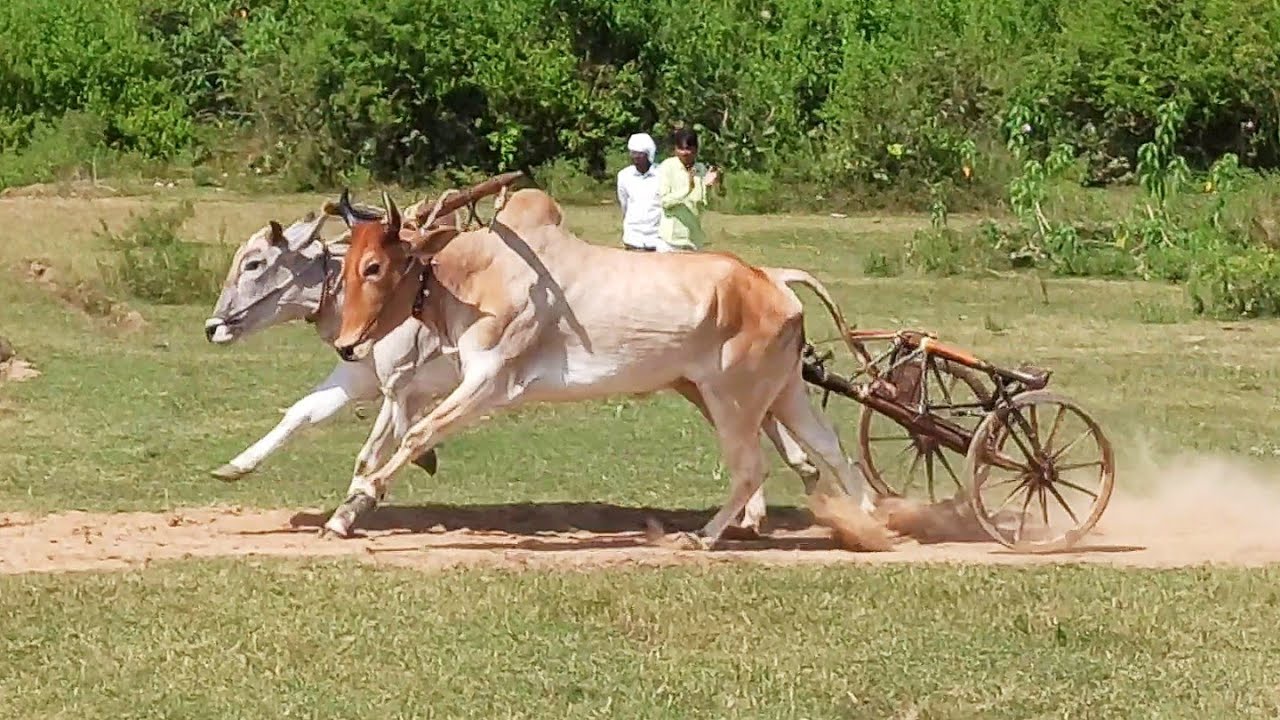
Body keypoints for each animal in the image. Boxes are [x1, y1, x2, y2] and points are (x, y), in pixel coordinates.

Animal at [322, 185, 892, 551]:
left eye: (375, 266)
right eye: (344, 263)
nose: (347, 345)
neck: (470, 274)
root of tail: (769, 276)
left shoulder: (490, 380)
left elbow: (418, 433)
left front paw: (361, 498)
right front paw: (349, 508)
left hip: (732, 400)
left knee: (754, 467)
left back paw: (705, 536)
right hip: (781, 392)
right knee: (830, 449)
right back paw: (876, 521)